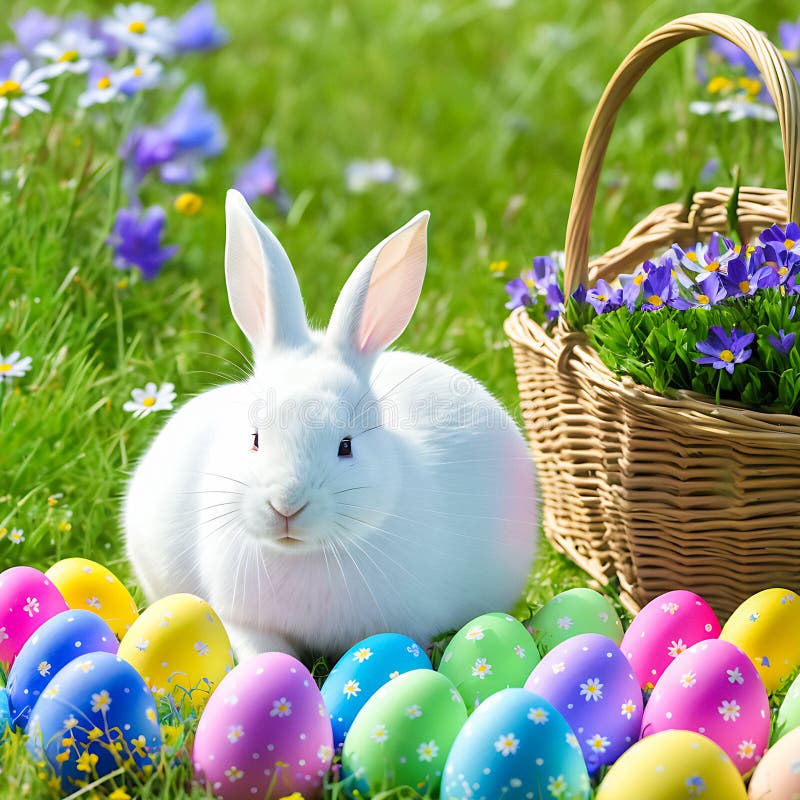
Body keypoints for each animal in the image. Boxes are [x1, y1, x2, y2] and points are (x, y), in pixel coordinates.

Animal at [124, 189, 537, 660]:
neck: (302, 554)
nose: (286, 505)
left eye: (346, 445)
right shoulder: (245, 623)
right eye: (255, 438)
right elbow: (261, 654)